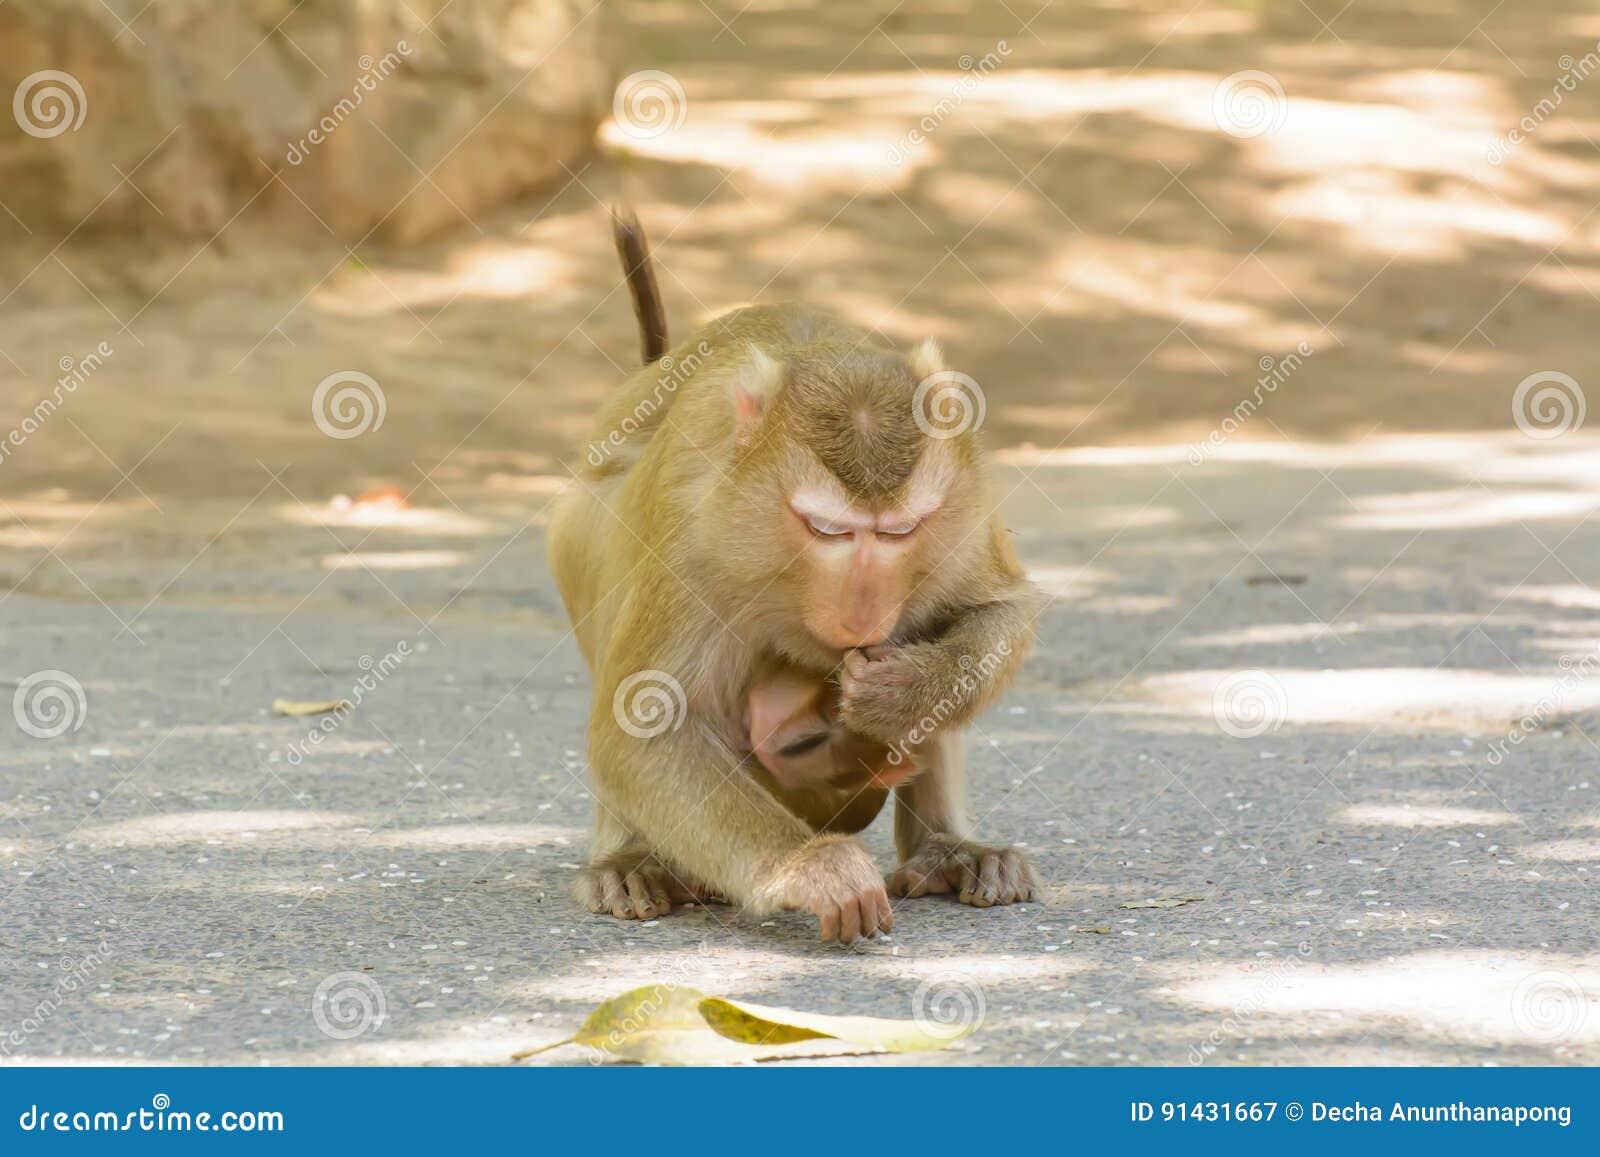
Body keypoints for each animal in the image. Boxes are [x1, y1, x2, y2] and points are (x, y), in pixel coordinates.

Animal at [546, 206, 1041, 942]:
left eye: (899, 531)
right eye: (826, 530)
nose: (862, 612)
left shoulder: (965, 495)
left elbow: (1002, 608)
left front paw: (905, 691)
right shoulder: (688, 531)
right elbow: (640, 729)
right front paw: (810, 867)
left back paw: (944, 849)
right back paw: (632, 859)